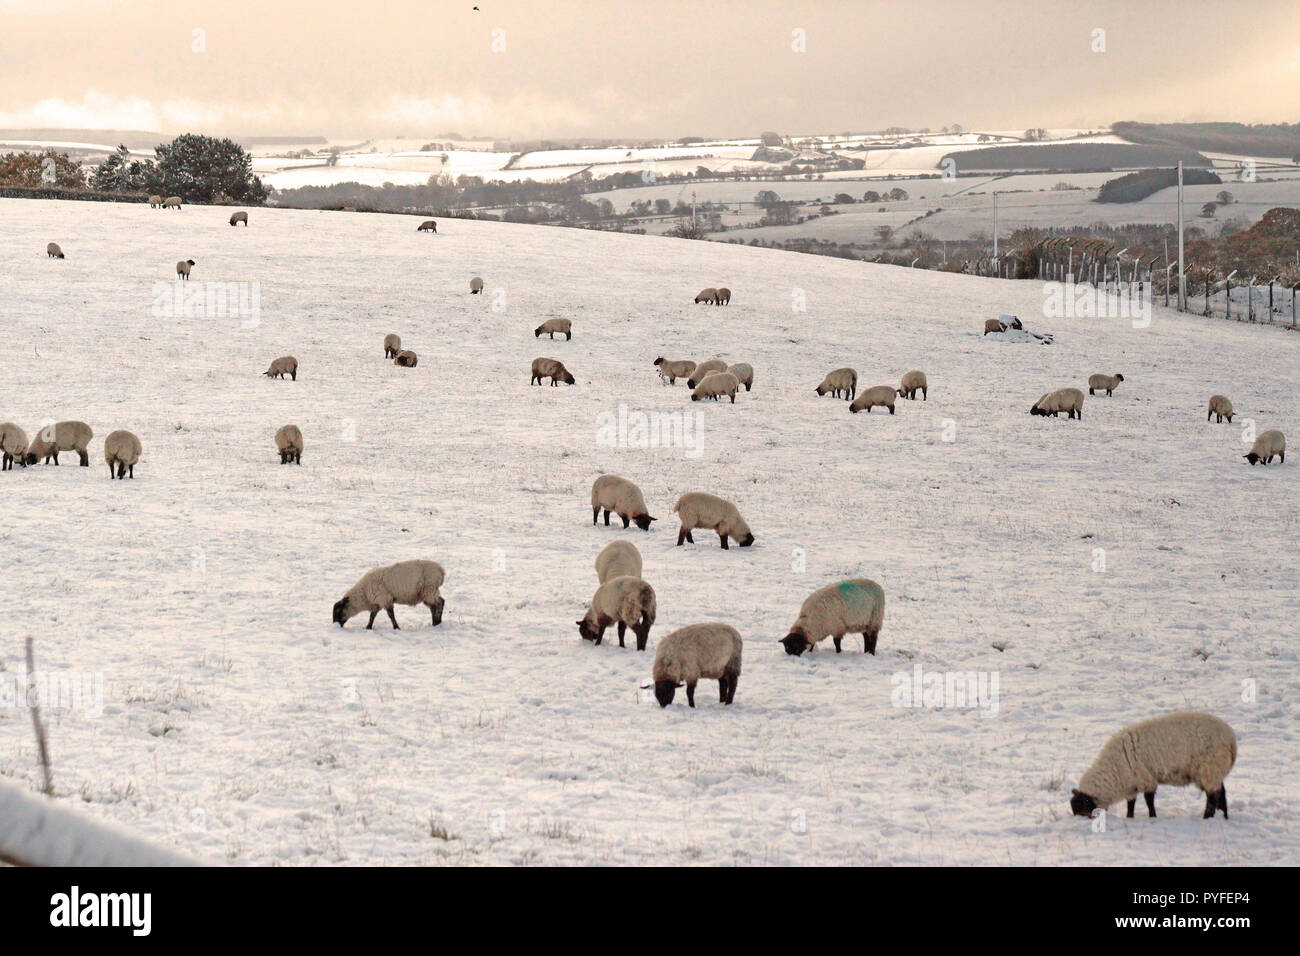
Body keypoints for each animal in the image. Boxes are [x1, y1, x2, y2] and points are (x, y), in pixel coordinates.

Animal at [1069, 711, 1237, 820]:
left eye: (1081, 806)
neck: (1114, 771)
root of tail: (1230, 737)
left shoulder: (1146, 780)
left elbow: (1148, 800)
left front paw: (1152, 817)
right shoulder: (1132, 785)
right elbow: (1131, 803)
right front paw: (1129, 817)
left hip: (1210, 769)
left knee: (1212, 796)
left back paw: (1207, 817)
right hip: (1213, 772)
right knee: (1221, 792)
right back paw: (1224, 816)